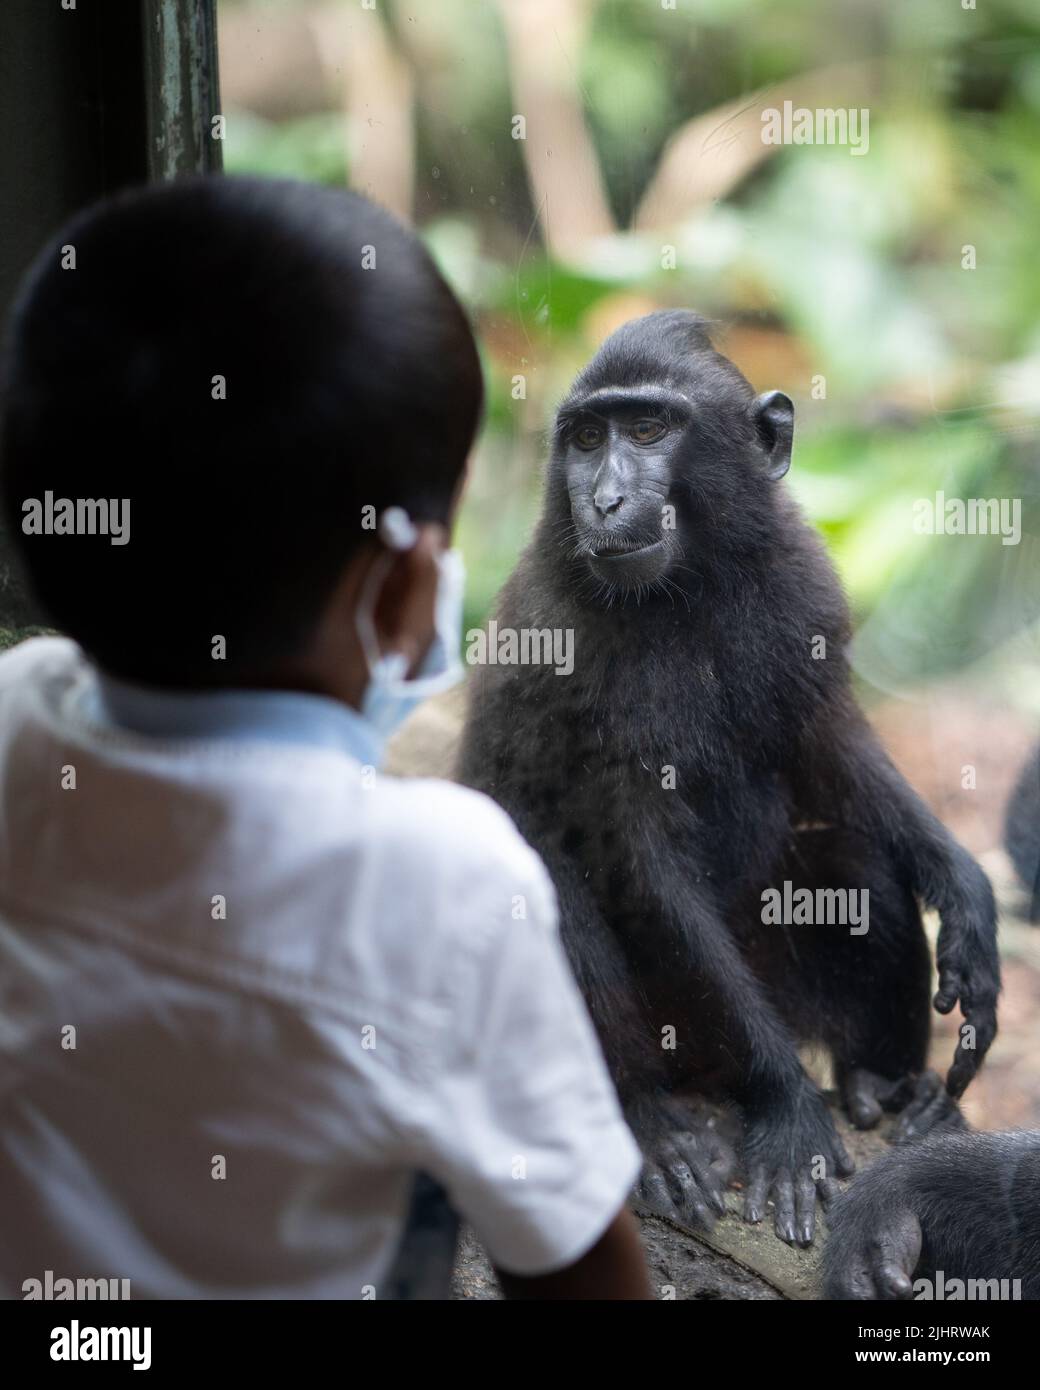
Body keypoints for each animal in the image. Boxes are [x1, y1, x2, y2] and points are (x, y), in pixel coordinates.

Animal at [458, 310, 1000, 1247]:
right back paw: (648, 1118)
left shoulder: (801, 585)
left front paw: (967, 897)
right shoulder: (570, 641)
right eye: (587, 439)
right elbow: (641, 864)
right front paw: (787, 1111)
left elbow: (830, 749)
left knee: (854, 864)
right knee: (547, 883)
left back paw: (880, 1085)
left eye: (647, 429)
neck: (690, 588)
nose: (603, 503)